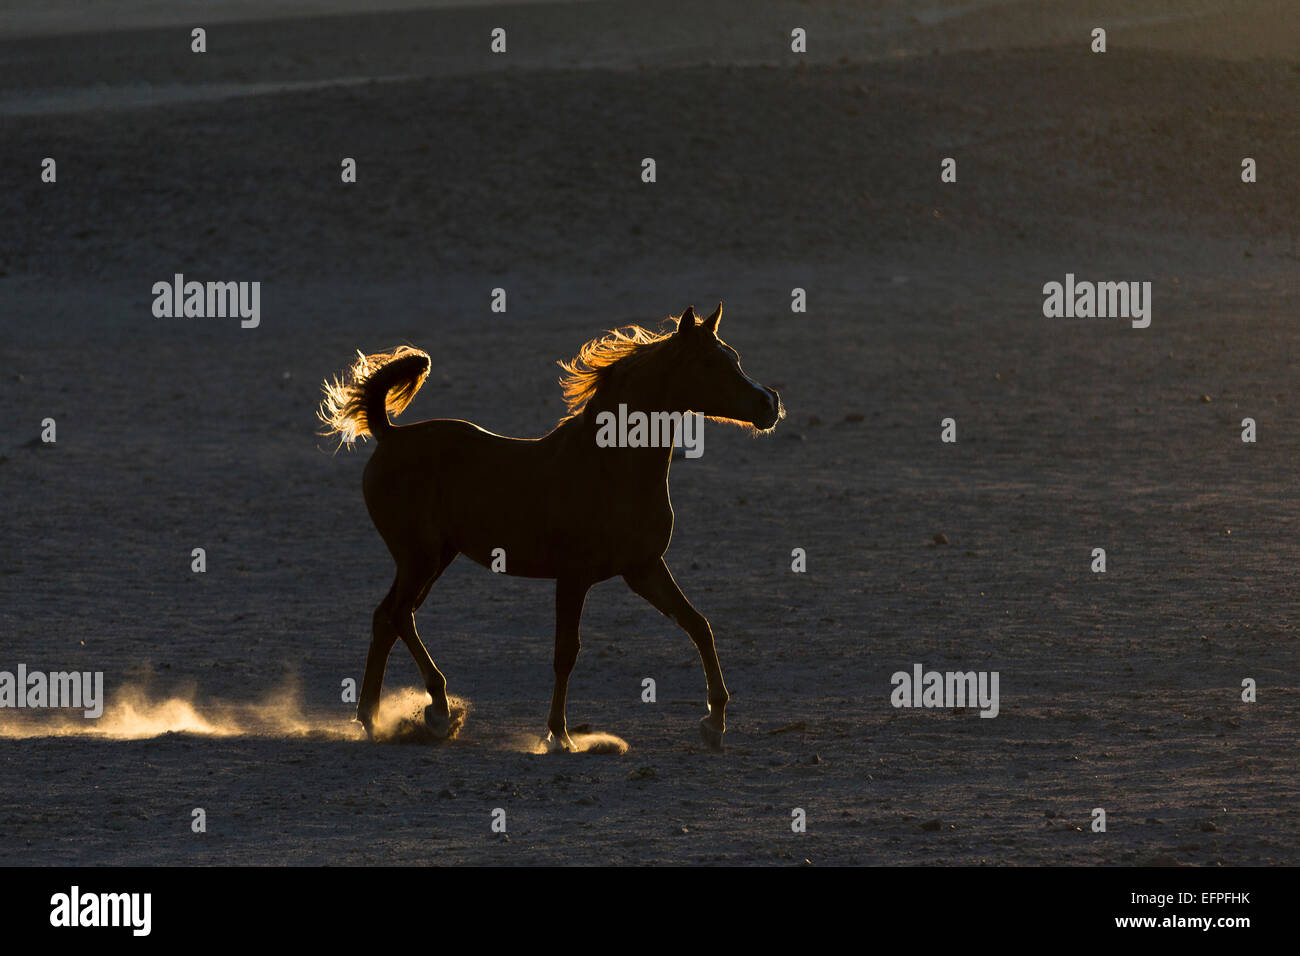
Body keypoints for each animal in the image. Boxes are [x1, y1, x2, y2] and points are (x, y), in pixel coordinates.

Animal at [318, 303, 784, 751]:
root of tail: (389, 435)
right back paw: (437, 709)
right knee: (398, 615)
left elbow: (699, 626)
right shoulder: (574, 577)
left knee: (388, 619)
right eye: (709, 363)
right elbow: (566, 652)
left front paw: (715, 723)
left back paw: (371, 718)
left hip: (434, 558)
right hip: (419, 558)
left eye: (733, 357)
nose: (770, 404)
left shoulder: (645, 569)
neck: (611, 467)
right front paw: (559, 735)